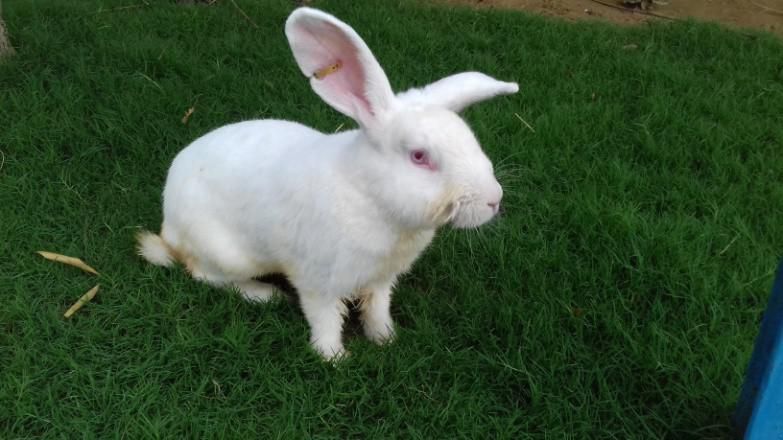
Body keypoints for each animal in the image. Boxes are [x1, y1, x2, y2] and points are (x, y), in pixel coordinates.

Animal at [137, 7, 518, 360]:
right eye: (420, 156)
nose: (494, 199)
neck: (372, 198)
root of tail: (169, 226)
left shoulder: (381, 280)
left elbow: (377, 309)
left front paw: (386, 339)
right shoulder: (318, 281)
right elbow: (325, 319)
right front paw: (332, 358)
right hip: (228, 254)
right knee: (203, 274)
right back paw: (264, 295)